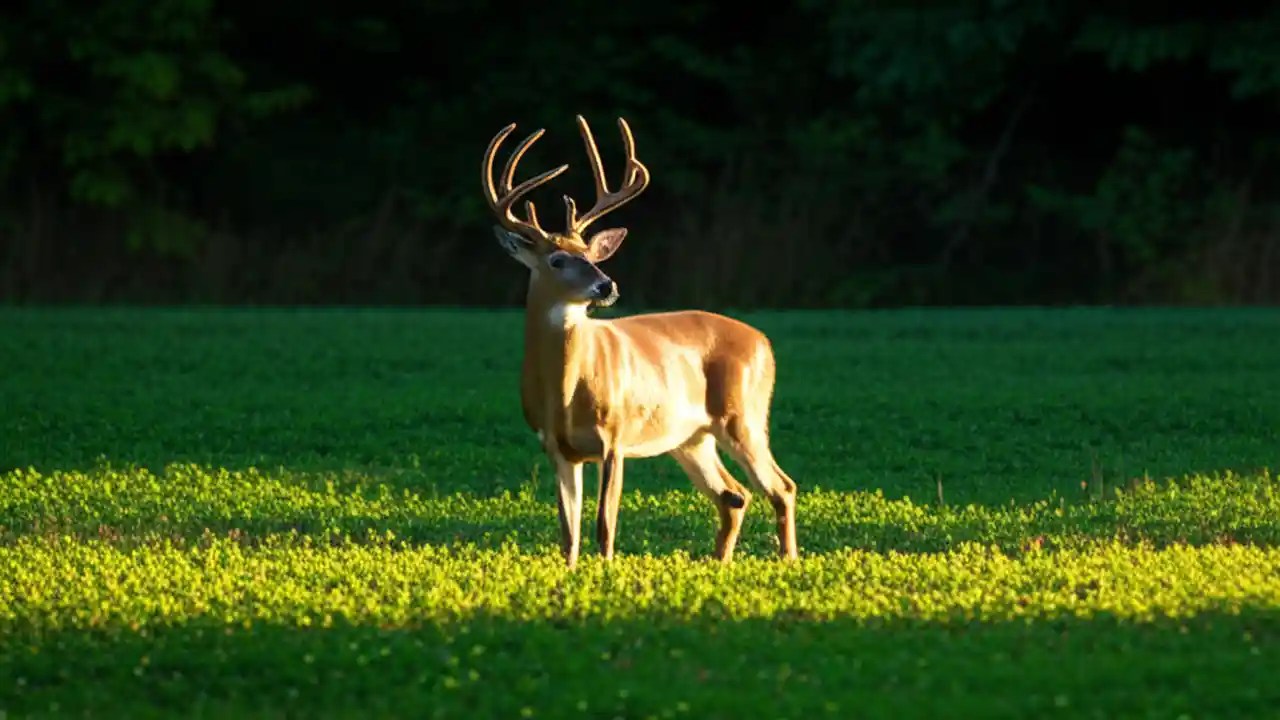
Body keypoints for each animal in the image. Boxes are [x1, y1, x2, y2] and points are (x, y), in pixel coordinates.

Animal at [481, 114, 798, 568]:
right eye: (557, 260)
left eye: (590, 254)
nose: (606, 285)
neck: (563, 392)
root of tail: (764, 342)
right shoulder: (556, 447)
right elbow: (568, 534)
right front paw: (571, 572)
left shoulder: (615, 435)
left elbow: (604, 524)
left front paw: (606, 570)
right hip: (691, 437)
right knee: (734, 496)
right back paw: (719, 562)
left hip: (744, 416)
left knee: (781, 487)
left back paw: (788, 561)